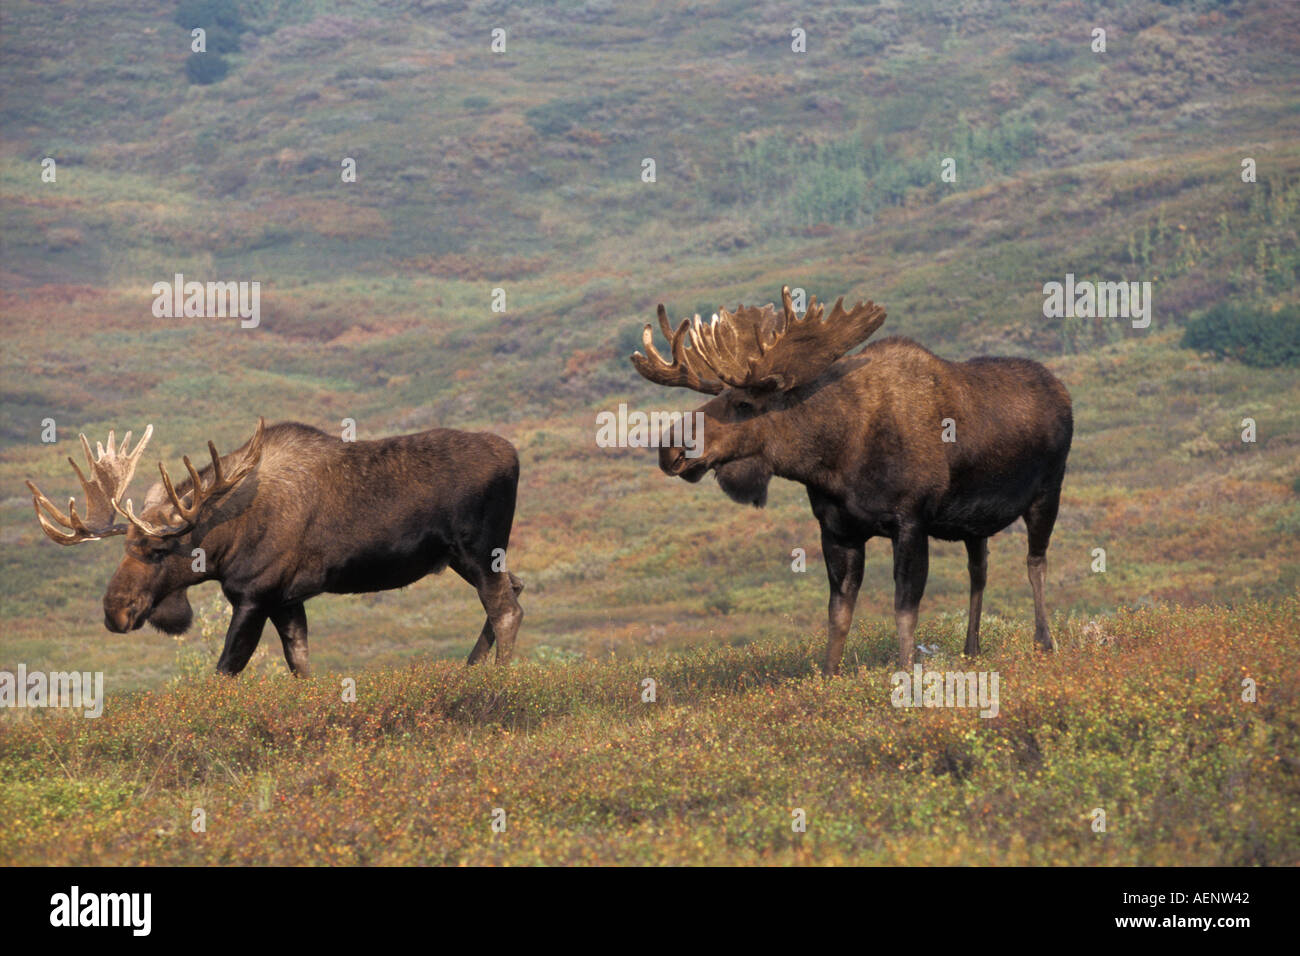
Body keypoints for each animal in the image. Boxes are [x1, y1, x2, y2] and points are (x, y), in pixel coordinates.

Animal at [25, 420, 524, 676]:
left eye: (157, 551)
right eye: (125, 546)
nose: (115, 611)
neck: (223, 539)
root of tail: (516, 456)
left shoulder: (255, 594)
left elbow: (225, 669)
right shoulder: (287, 599)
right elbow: (299, 663)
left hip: (478, 549)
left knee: (506, 608)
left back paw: (498, 681)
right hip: (468, 557)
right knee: (514, 590)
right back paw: (469, 671)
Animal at [631, 285, 1073, 673]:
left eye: (743, 403)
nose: (670, 450)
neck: (835, 454)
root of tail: (1063, 391)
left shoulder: (911, 522)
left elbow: (905, 607)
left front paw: (906, 670)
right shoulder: (837, 530)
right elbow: (838, 614)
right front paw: (829, 675)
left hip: (1047, 492)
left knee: (1035, 563)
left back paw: (1044, 642)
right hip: (972, 524)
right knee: (979, 571)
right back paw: (972, 649)